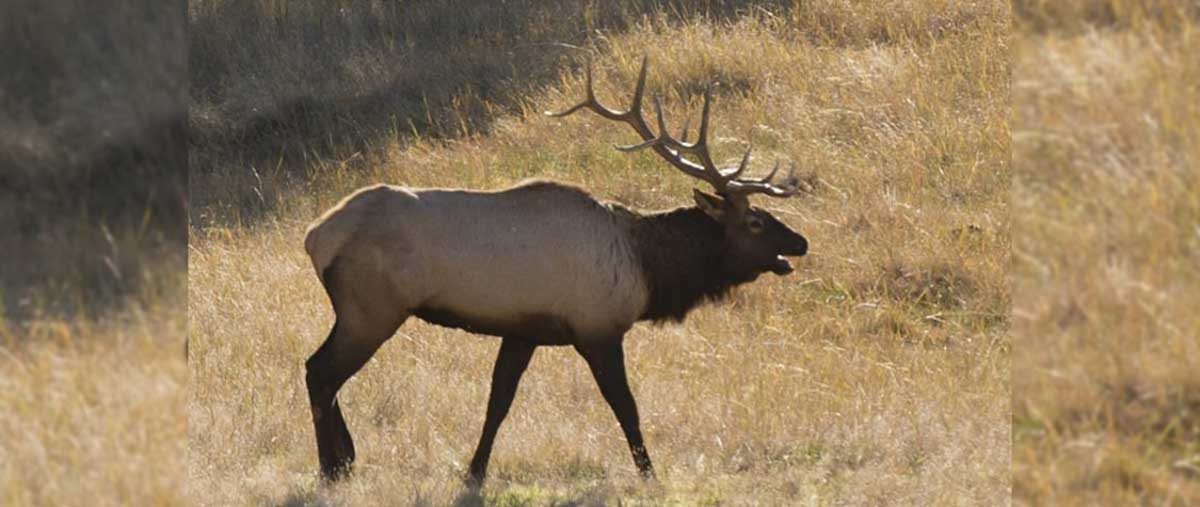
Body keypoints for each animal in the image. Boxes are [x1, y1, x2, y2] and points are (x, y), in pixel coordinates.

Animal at [302, 57, 809, 487]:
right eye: (755, 221)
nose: (799, 241)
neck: (647, 267)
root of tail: (316, 235)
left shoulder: (523, 330)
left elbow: (498, 403)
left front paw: (475, 471)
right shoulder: (597, 327)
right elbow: (626, 407)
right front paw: (650, 474)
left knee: (322, 372)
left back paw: (346, 460)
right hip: (372, 309)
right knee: (320, 371)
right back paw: (332, 467)